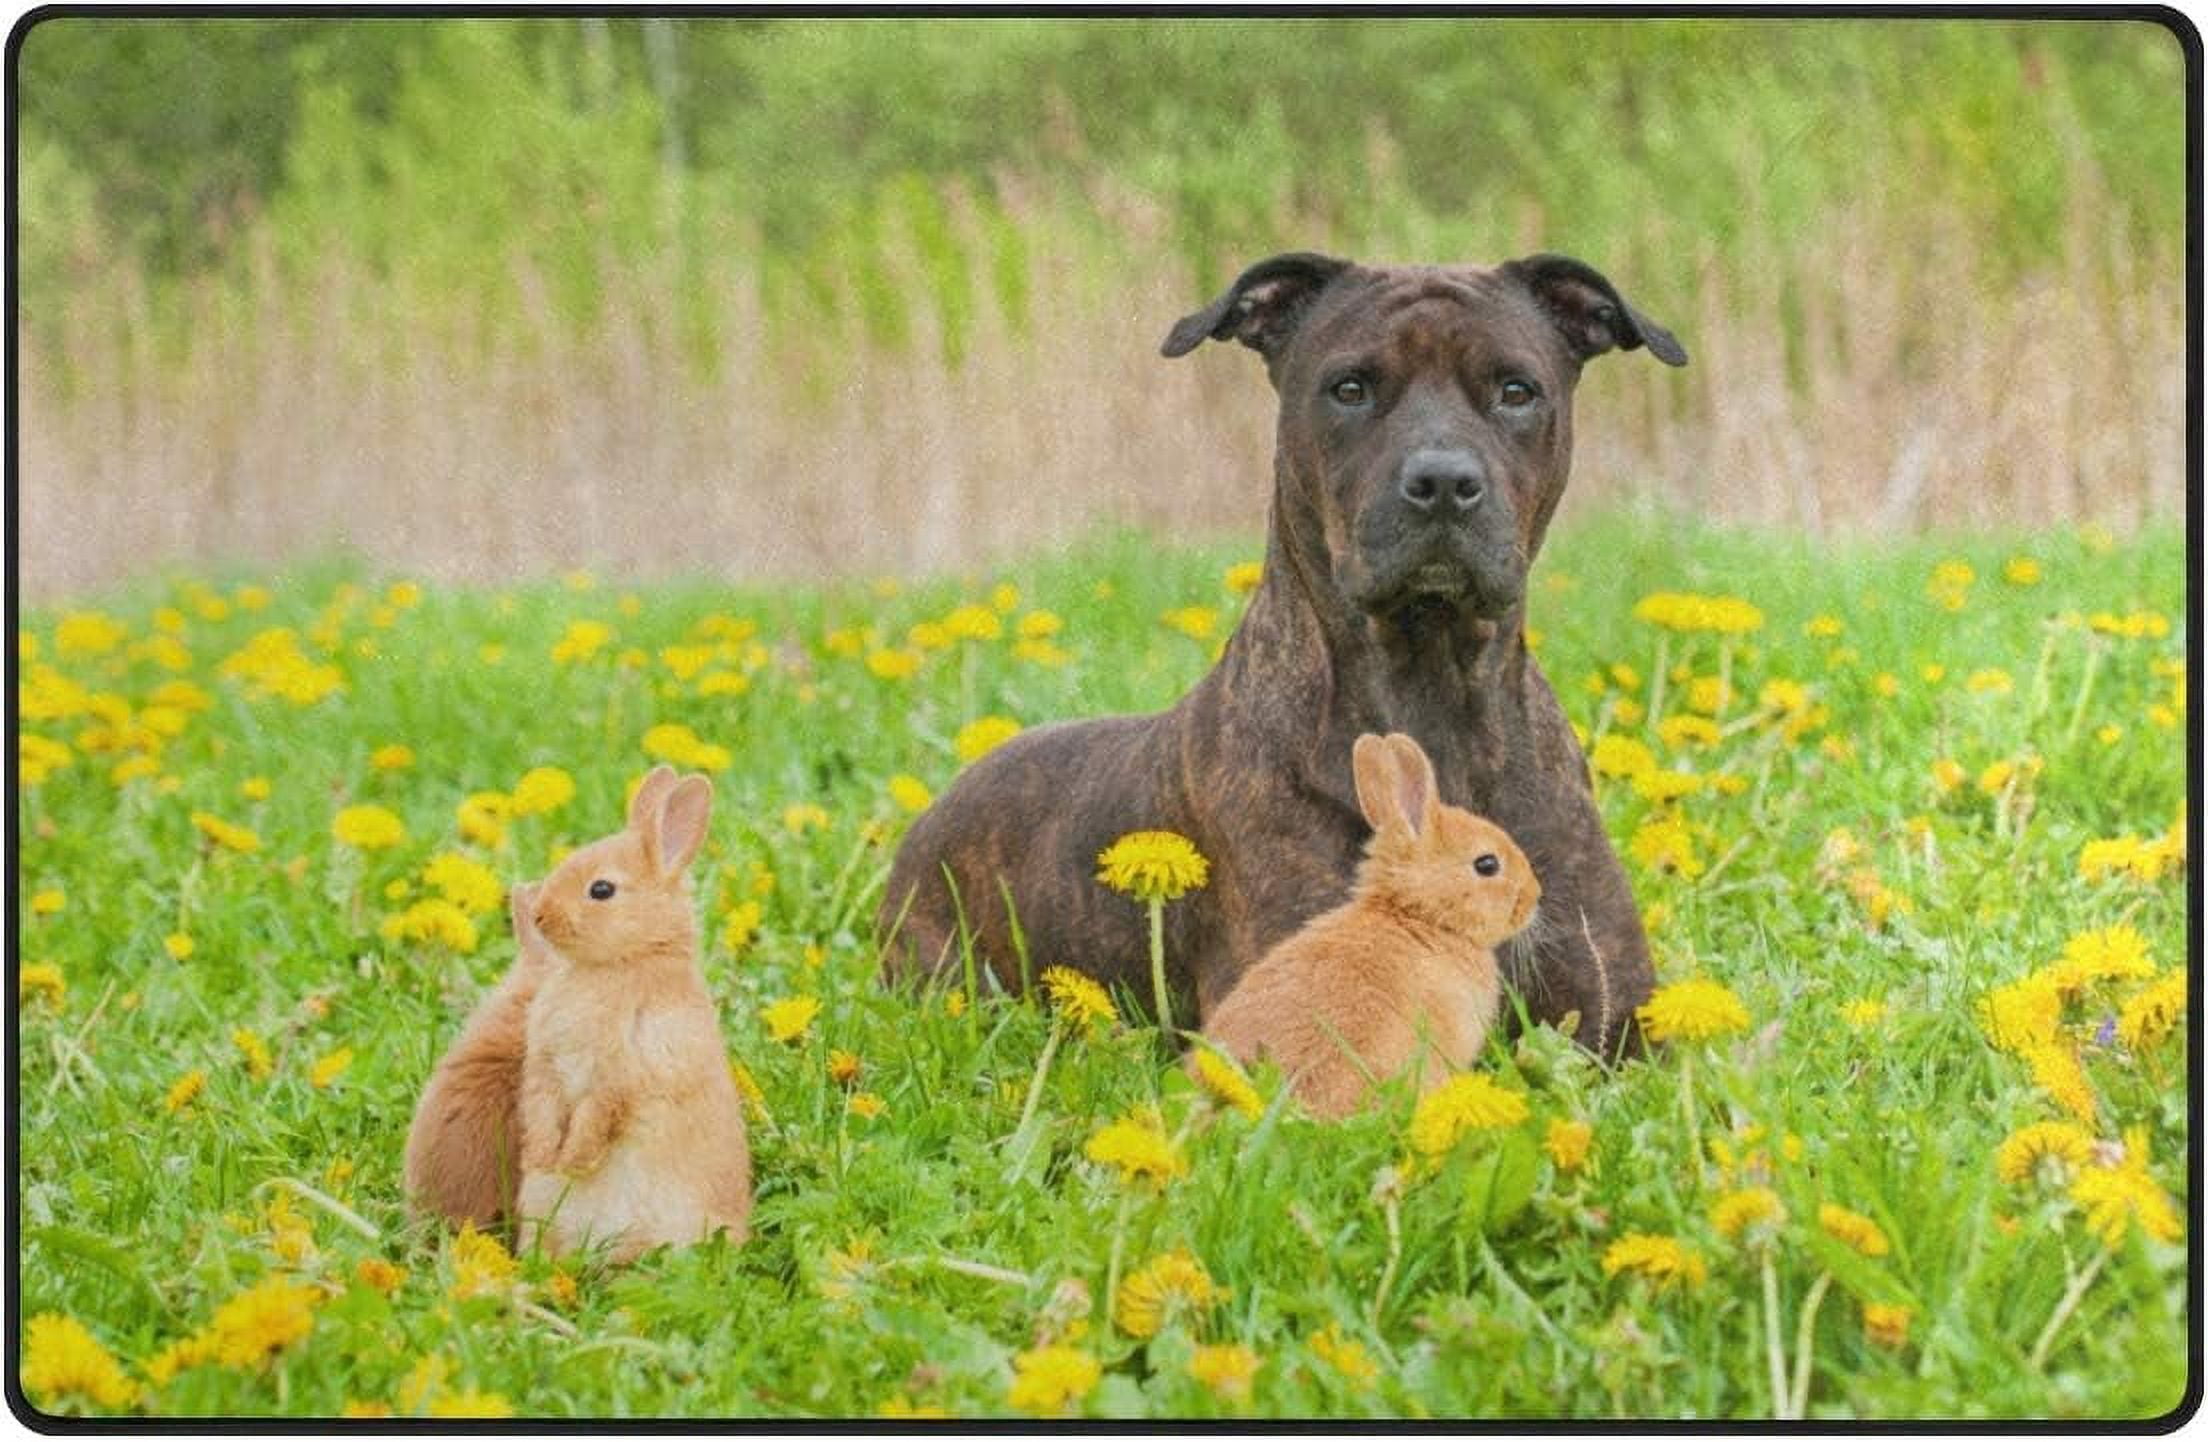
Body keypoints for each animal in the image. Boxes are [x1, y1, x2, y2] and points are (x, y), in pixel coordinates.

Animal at [516, 765, 752, 1263]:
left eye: (601, 889)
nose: (542, 916)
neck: (625, 960)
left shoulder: (620, 1072)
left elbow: (596, 1114)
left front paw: (574, 1160)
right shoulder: (546, 1065)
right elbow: (543, 1103)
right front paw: (543, 1155)